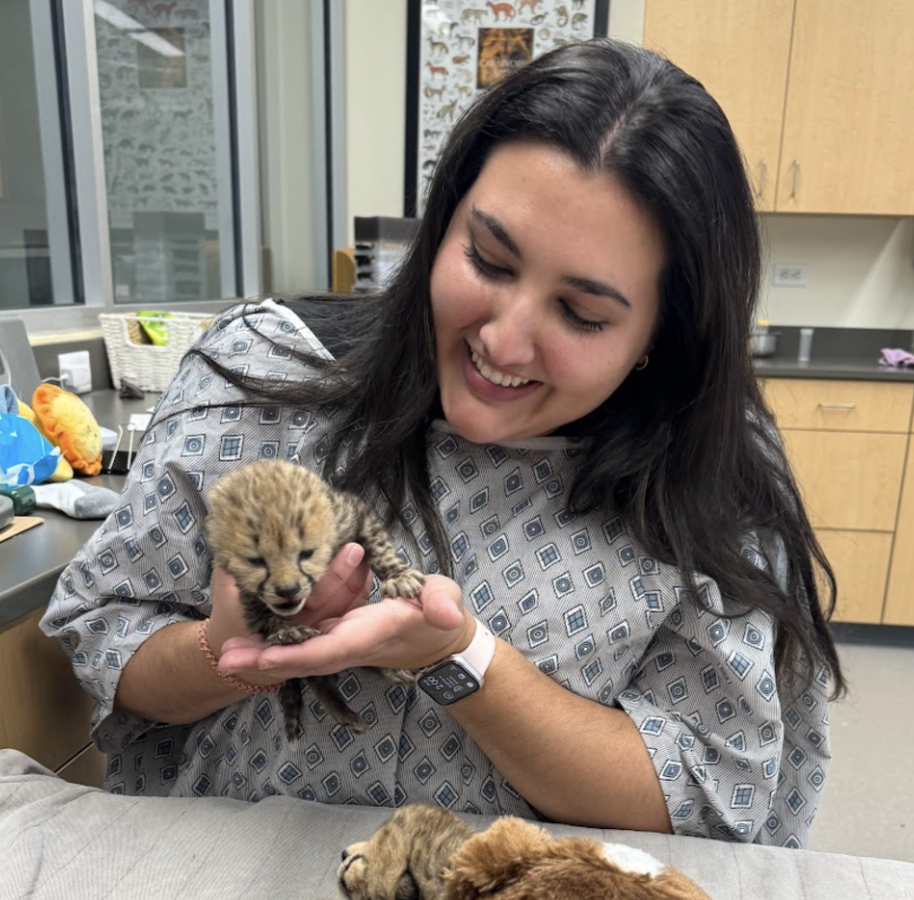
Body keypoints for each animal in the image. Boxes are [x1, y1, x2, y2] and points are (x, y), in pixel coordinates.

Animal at [204, 458, 425, 742]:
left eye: (306, 553)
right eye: (256, 561)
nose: (288, 590)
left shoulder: (352, 514)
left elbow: (379, 546)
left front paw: (399, 575)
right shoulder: (248, 597)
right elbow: (266, 618)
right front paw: (287, 632)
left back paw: (389, 671)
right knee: (317, 678)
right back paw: (345, 713)